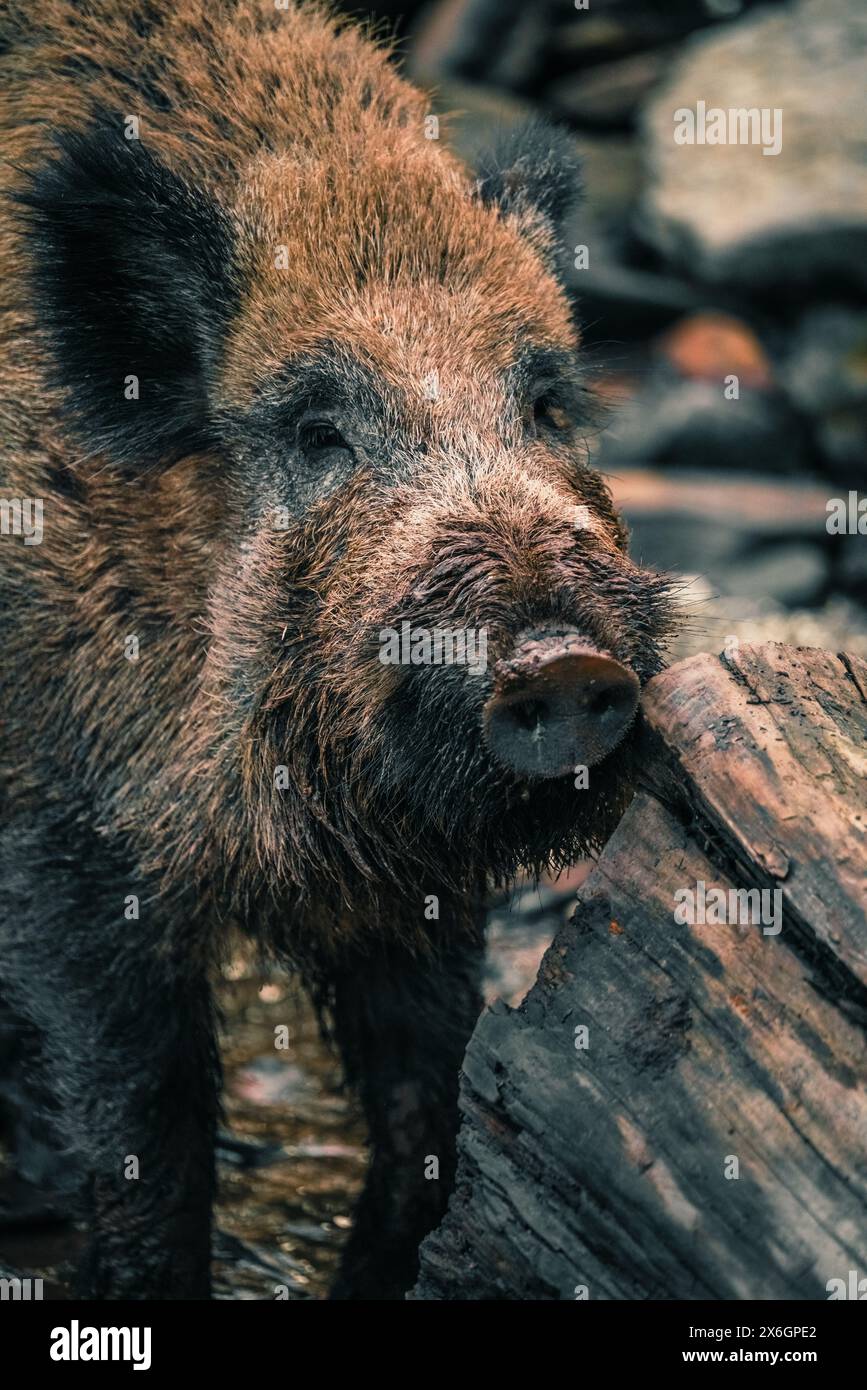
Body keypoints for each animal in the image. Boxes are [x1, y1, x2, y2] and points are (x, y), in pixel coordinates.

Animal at [0, 0, 674, 1298]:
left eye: (547, 405)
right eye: (318, 430)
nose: (563, 664)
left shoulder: (418, 872)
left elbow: (425, 1094)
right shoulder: (60, 838)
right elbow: (144, 1135)